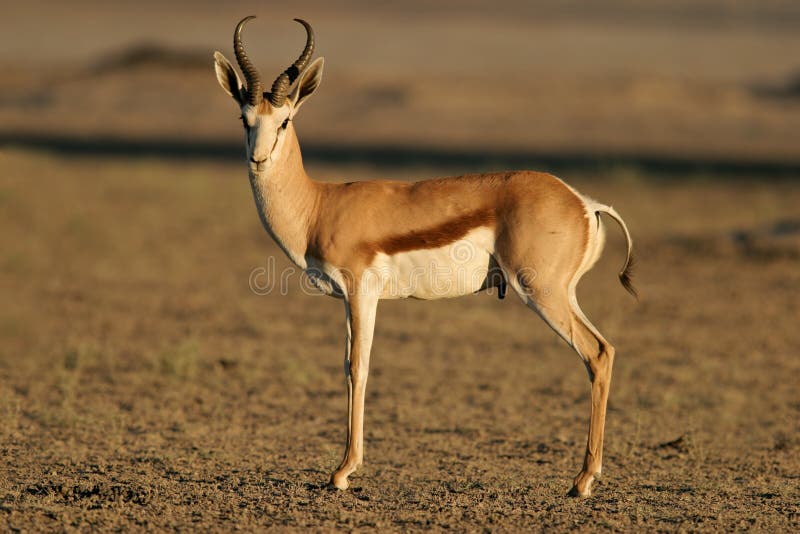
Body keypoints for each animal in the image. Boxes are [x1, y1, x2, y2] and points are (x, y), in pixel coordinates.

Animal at [213, 16, 636, 497]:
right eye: (244, 119)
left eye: (284, 121)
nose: (258, 159)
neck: (318, 205)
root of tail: (584, 203)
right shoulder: (347, 300)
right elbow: (346, 366)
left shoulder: (362, 292)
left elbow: (359, 367)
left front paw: (343, 471)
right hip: (564, 293)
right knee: (605, 350)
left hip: (541, 291)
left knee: (596, 353)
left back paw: (582, 481)